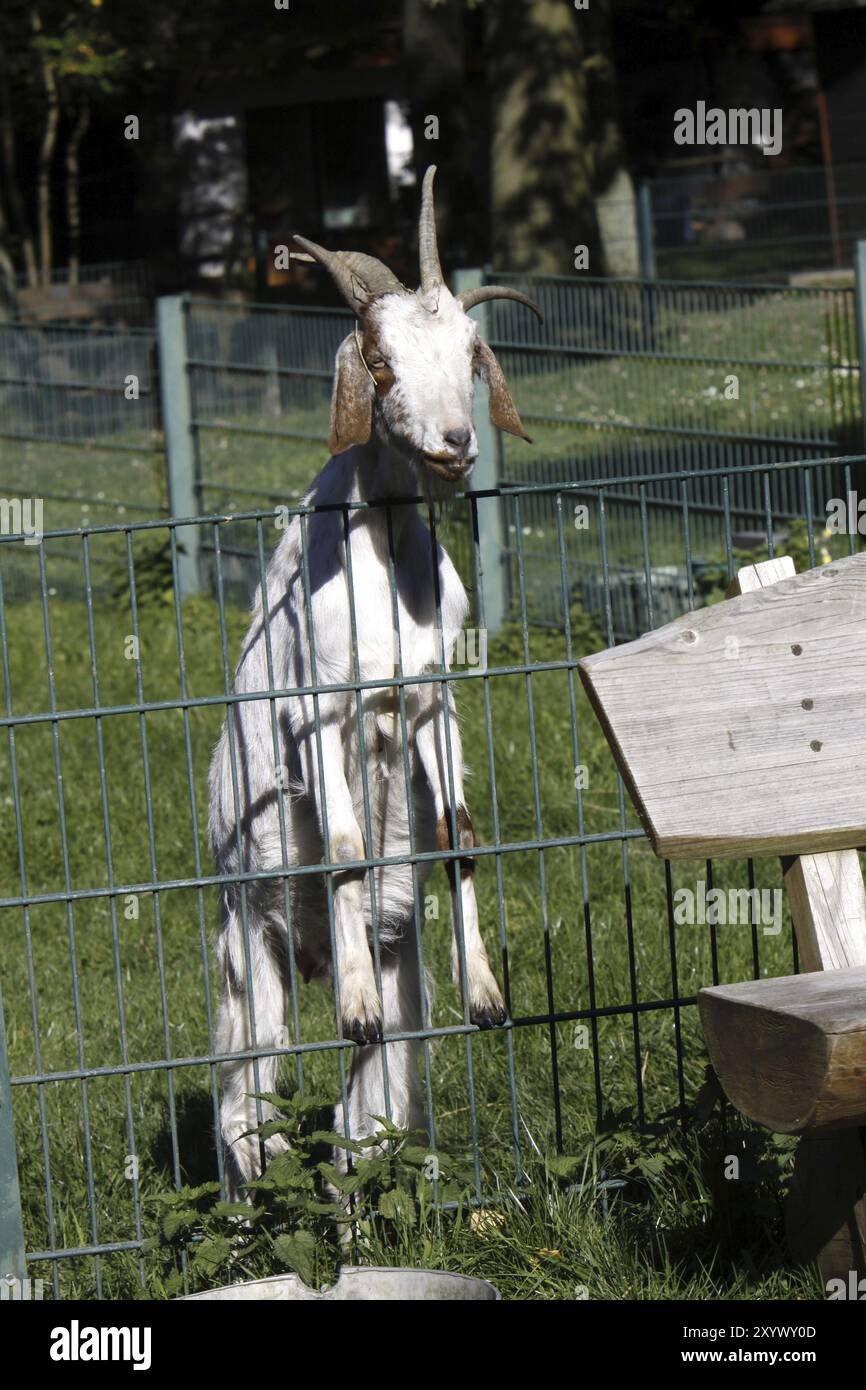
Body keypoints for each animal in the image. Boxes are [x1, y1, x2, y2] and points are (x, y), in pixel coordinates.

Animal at [208, 166, 541, 1192]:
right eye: (380, 363)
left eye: (470, 354)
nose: (454, 444)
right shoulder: (321, 705)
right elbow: (350, 845)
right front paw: (352, 1006)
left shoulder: (434, 700)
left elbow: (462, 835)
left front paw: (488, 994)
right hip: (248, 951)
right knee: (241, 1112)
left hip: (398, 965)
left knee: (364, 1130)